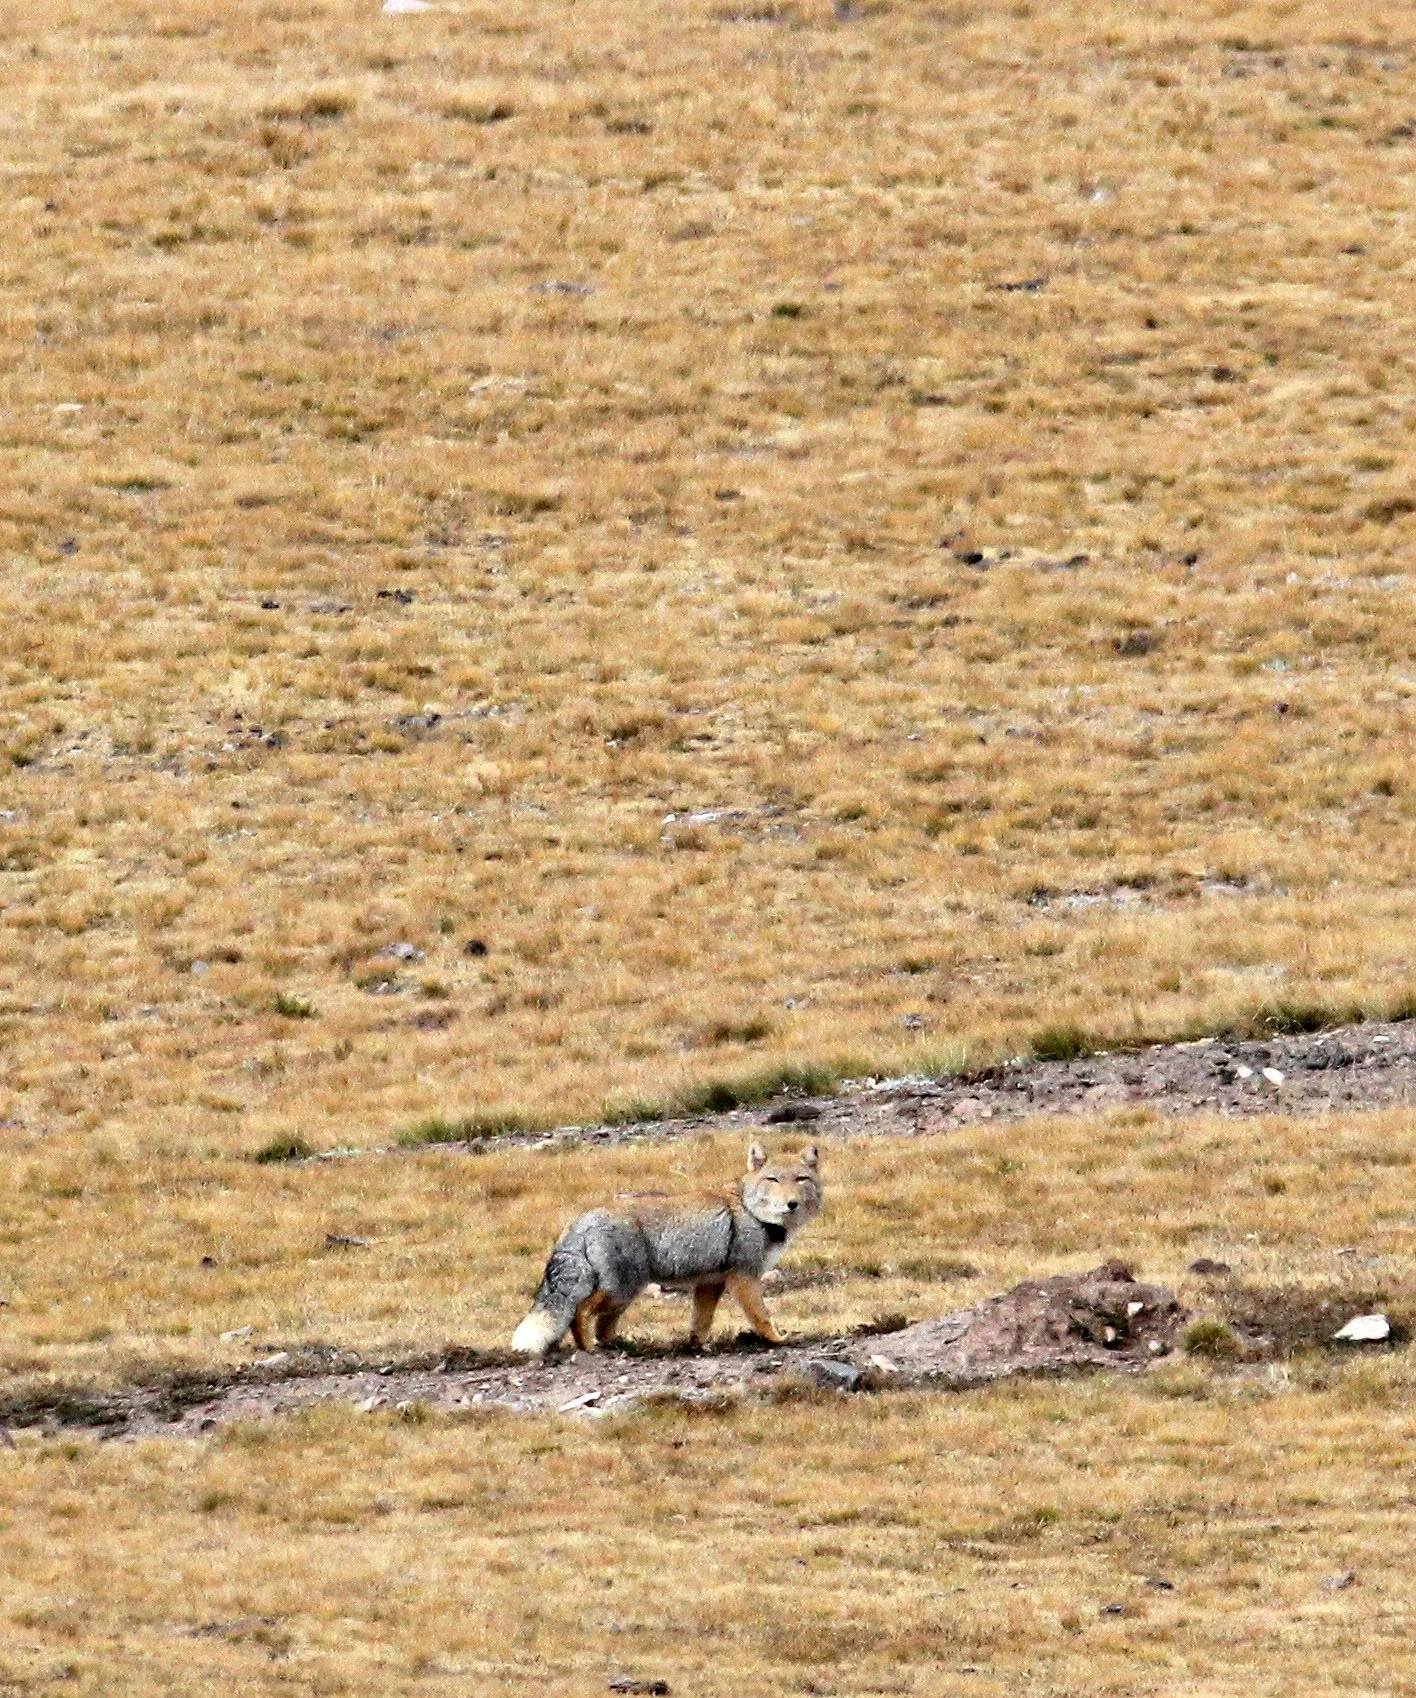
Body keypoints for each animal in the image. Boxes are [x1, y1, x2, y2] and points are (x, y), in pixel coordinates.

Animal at [510, 1142, 822, 1355]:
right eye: (773, 1179)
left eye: (800, 1179)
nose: (791, 1204)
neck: (751, 1211)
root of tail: (582, 1219)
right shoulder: (745, 1277)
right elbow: (761, 1316)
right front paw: (777, 1339)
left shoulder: (711, 1282)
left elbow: (700, 1322)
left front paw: (697, 1347)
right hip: (620, 1289)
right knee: (581, 1313)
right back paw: (590, 1349)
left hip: (623, 1294)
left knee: (602, 1325)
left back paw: (619, 1345)